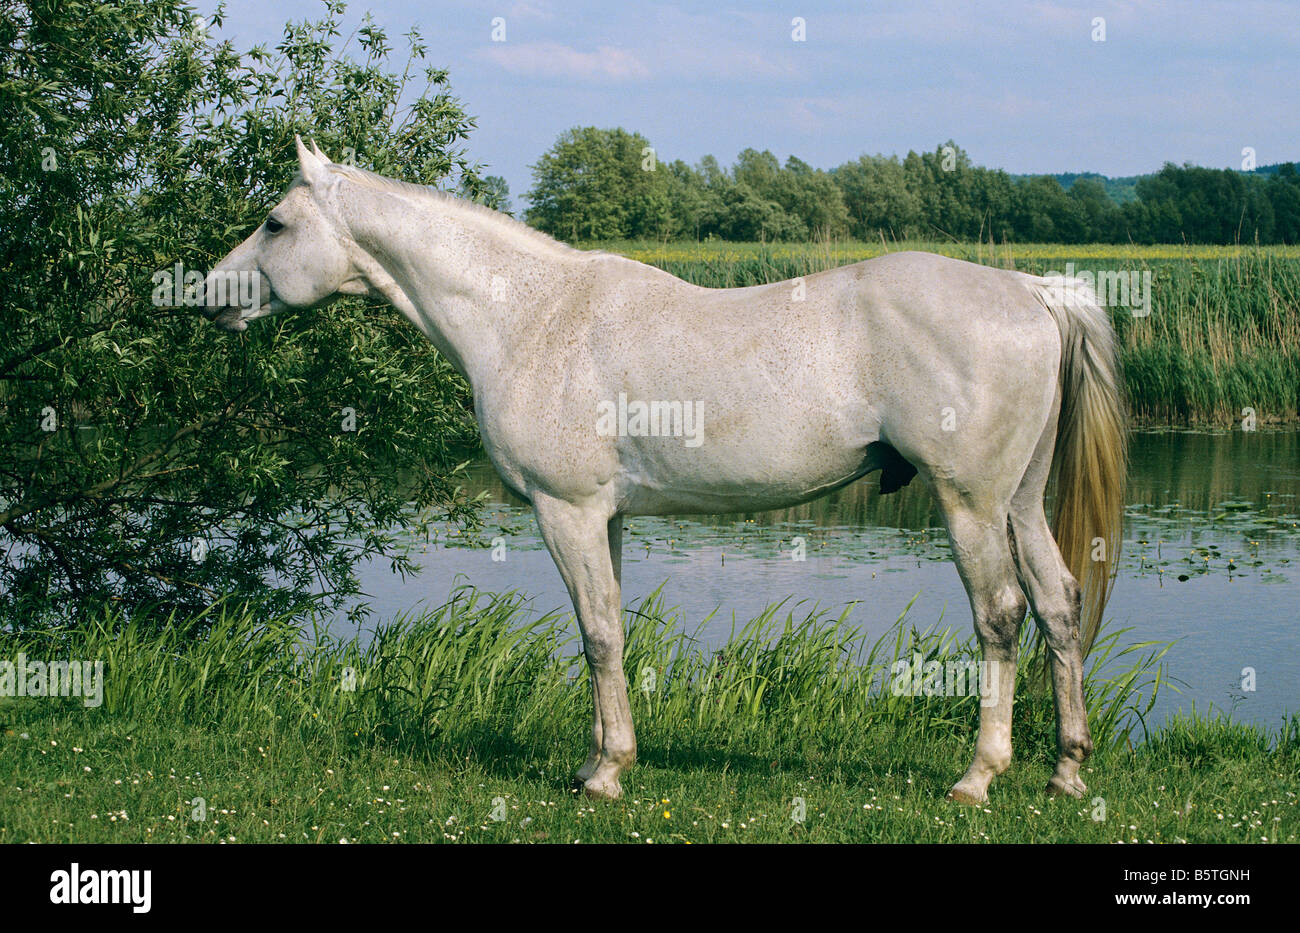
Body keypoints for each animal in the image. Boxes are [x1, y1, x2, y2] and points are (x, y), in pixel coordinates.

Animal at [203, 137, 1126, 804]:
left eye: (274, 223)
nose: (207, 295)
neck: (531, 315)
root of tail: (1031, 291)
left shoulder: (566, 510)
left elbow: (599, 634)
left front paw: (605, 774)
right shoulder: (605, 515)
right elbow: (610, 629)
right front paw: (600, 762)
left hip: (969, 502)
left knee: (1000, 616)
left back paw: (978, 776)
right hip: (1019, 501)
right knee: (1057, 605)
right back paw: (1066, 770)